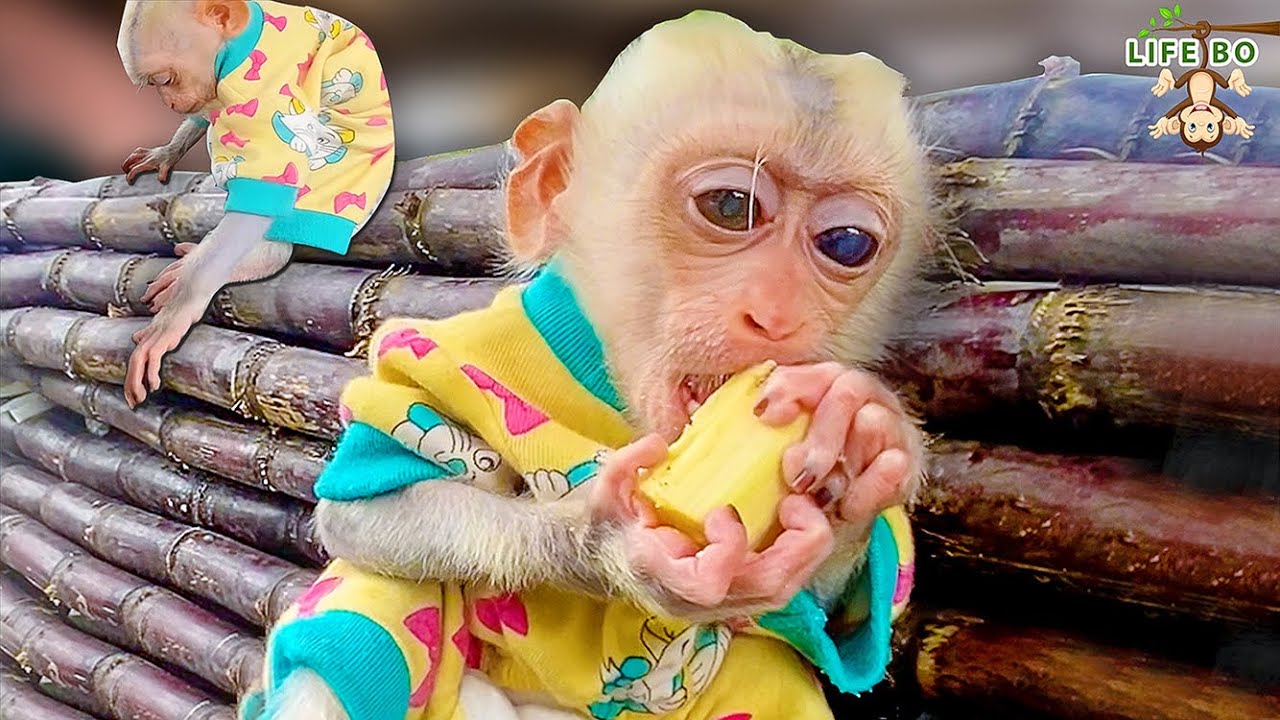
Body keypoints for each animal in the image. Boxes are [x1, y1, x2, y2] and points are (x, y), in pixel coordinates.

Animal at [241, 11, 929, 720]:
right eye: (730, 207)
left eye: (845, 243)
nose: (780, 315)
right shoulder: (445, 353)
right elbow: (368, 514)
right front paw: (606, 539)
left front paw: (861, 449)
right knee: (370, 614)